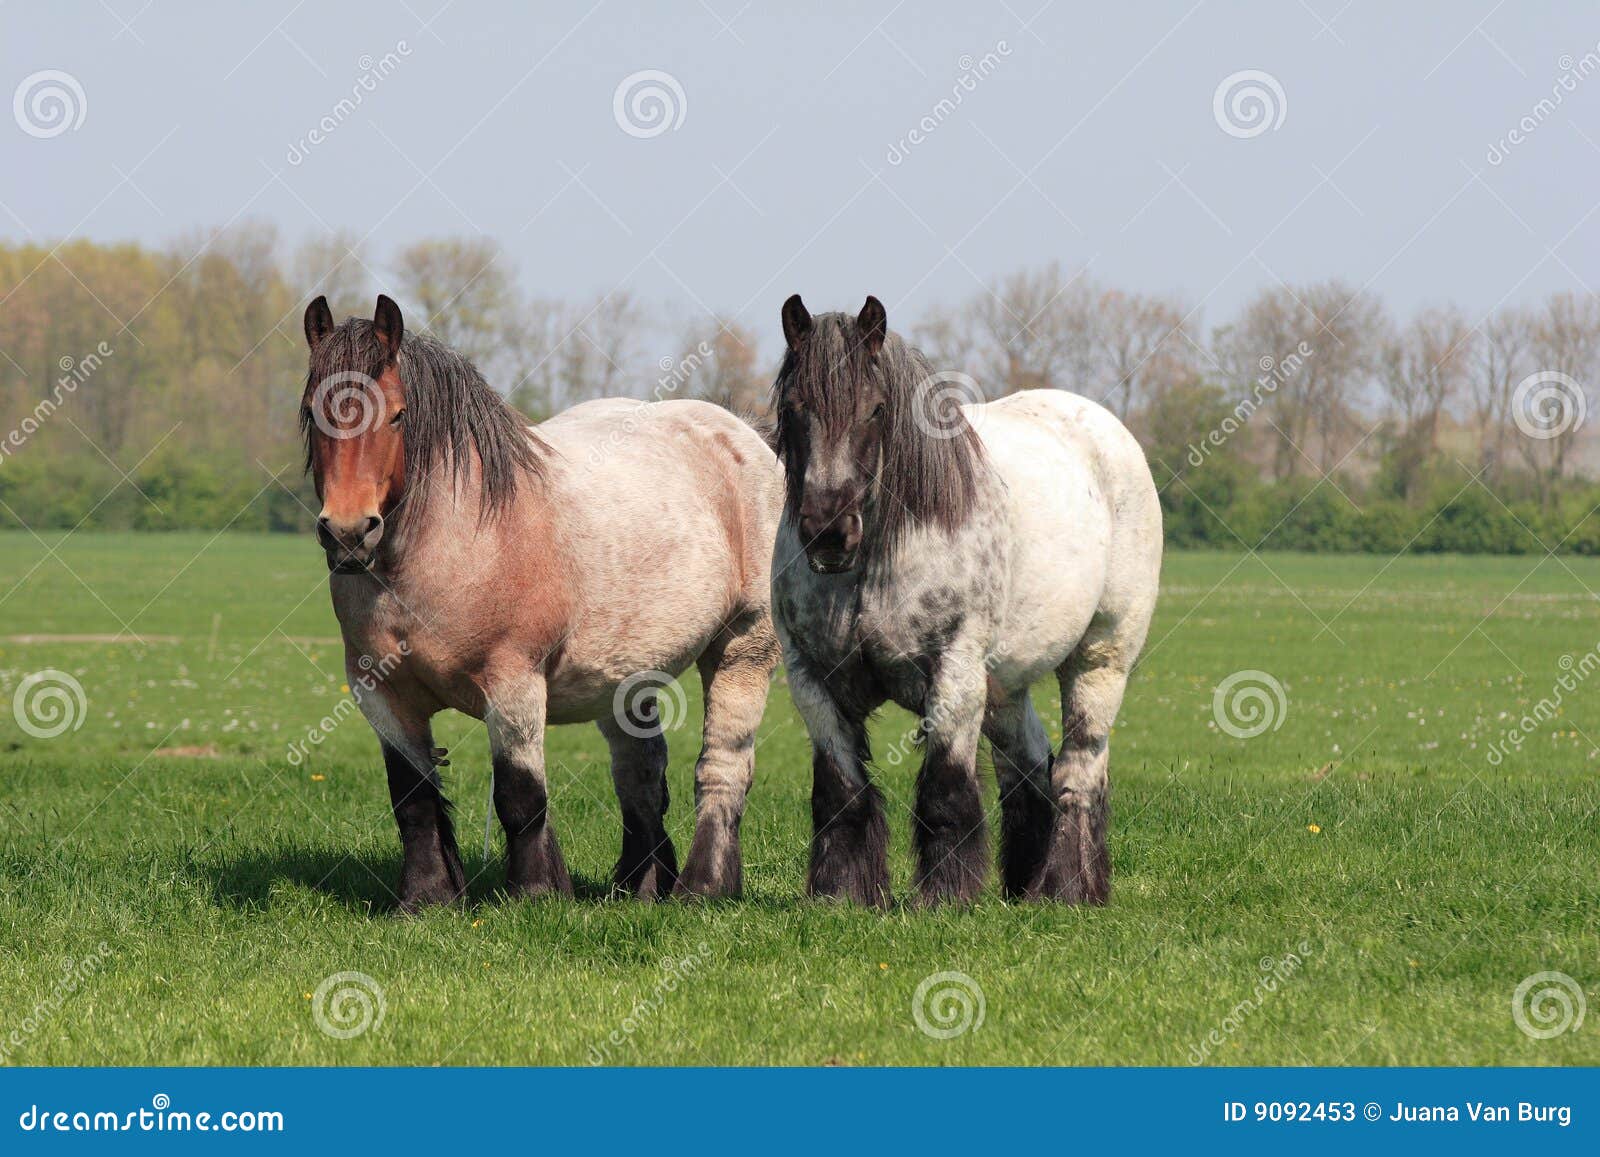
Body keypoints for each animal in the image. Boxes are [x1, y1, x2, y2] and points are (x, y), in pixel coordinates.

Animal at [300, 294, 781, 911]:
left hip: (743, 650)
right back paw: (640, 885)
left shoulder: (513, 683)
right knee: (641, 775)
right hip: (626, 676)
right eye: (312, 413)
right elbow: (413, 799)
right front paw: (426, 899)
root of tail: (745, 436)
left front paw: (534, 893)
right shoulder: (382, 695)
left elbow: (521, 797)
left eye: (399, 415)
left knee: (722, 767)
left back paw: (703, 888)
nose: (347, 532)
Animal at [769, 294, 1162, 908]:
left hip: (1100, 660)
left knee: (1080, 768)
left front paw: (945, 897)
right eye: (793, 408)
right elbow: (841, 793)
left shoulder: (953, 673)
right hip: (1004, 684)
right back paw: (1024, 884)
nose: (829, 532)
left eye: (876, 409)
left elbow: (946, 791)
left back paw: (1066, 890)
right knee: (1030, 764)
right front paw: (842, 895)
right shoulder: (813, 679)